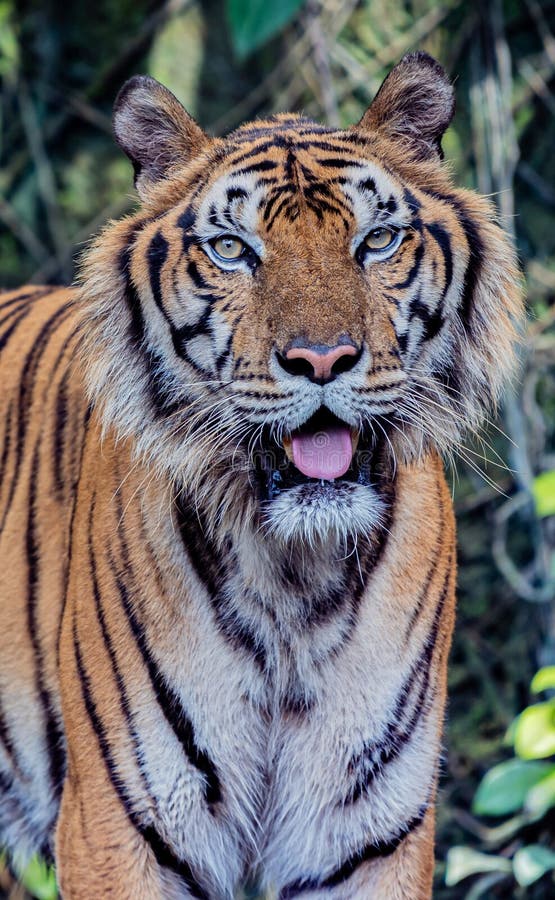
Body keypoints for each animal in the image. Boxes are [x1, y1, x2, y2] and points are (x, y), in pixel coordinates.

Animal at [0, 51, 523, 899]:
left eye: (376, 241)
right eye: (232, 250)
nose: (321, 359)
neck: (292, 580)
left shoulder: (363, 834)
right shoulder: (122, 823)